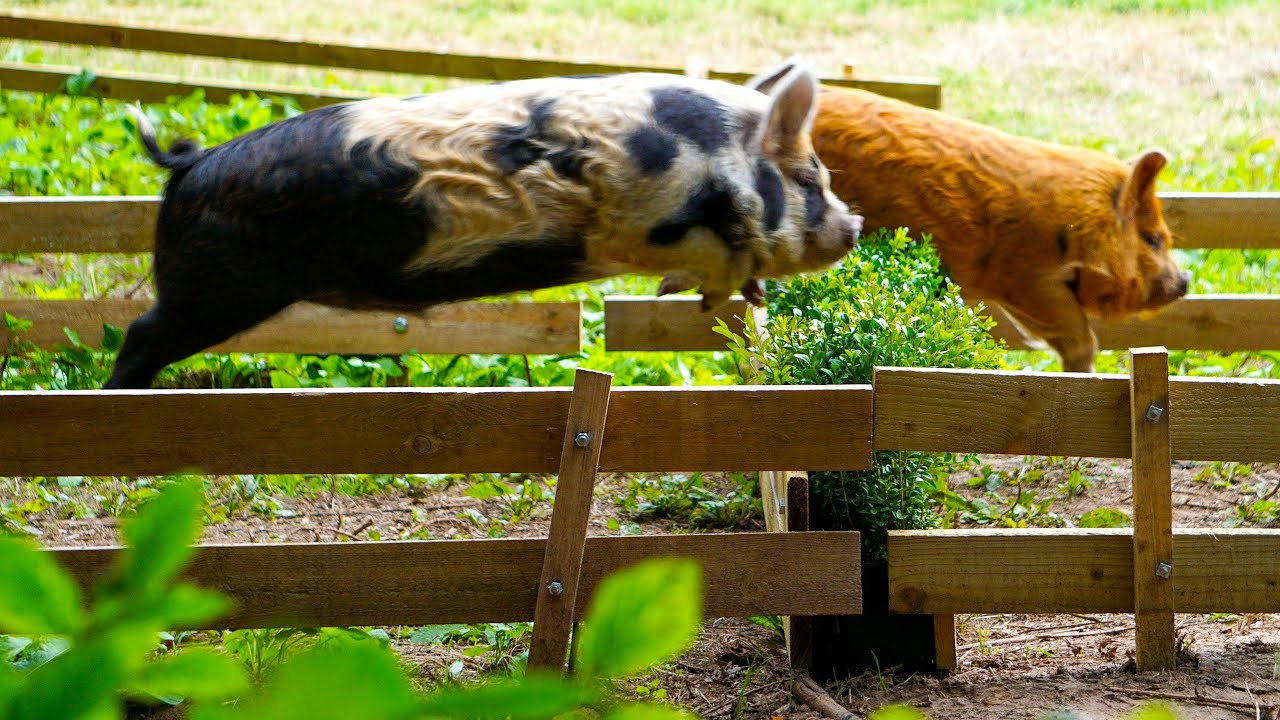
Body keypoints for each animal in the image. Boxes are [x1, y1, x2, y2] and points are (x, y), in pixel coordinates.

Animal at [104, 58, 861, 389]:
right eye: (812, 179)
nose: (854, 226)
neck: (718, 159)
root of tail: (190, 162)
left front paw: (721, 295)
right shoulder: (659, 215)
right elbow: (721, 253)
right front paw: (702, 289)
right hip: (213, 288)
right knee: (141, 332)